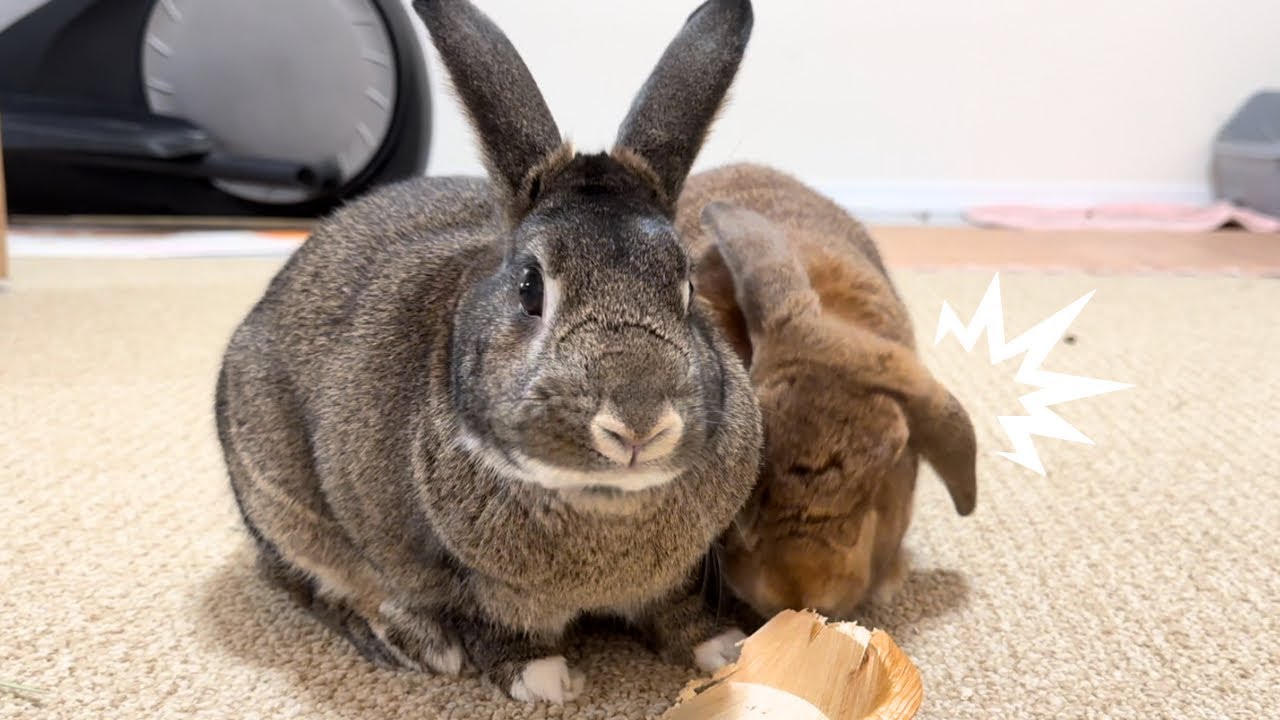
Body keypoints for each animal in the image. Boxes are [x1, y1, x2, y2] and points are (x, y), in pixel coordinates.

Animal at [213, 0, 763, 704]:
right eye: (530, 288)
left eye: (689, 286)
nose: (639, 426)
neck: (605, 501)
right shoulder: (462, 579)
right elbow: (495, 630)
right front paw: (545, 680)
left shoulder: (678, 577)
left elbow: (679, 612)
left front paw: (725, 648)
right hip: (282, 503)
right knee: (314, 585)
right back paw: (417, 642)